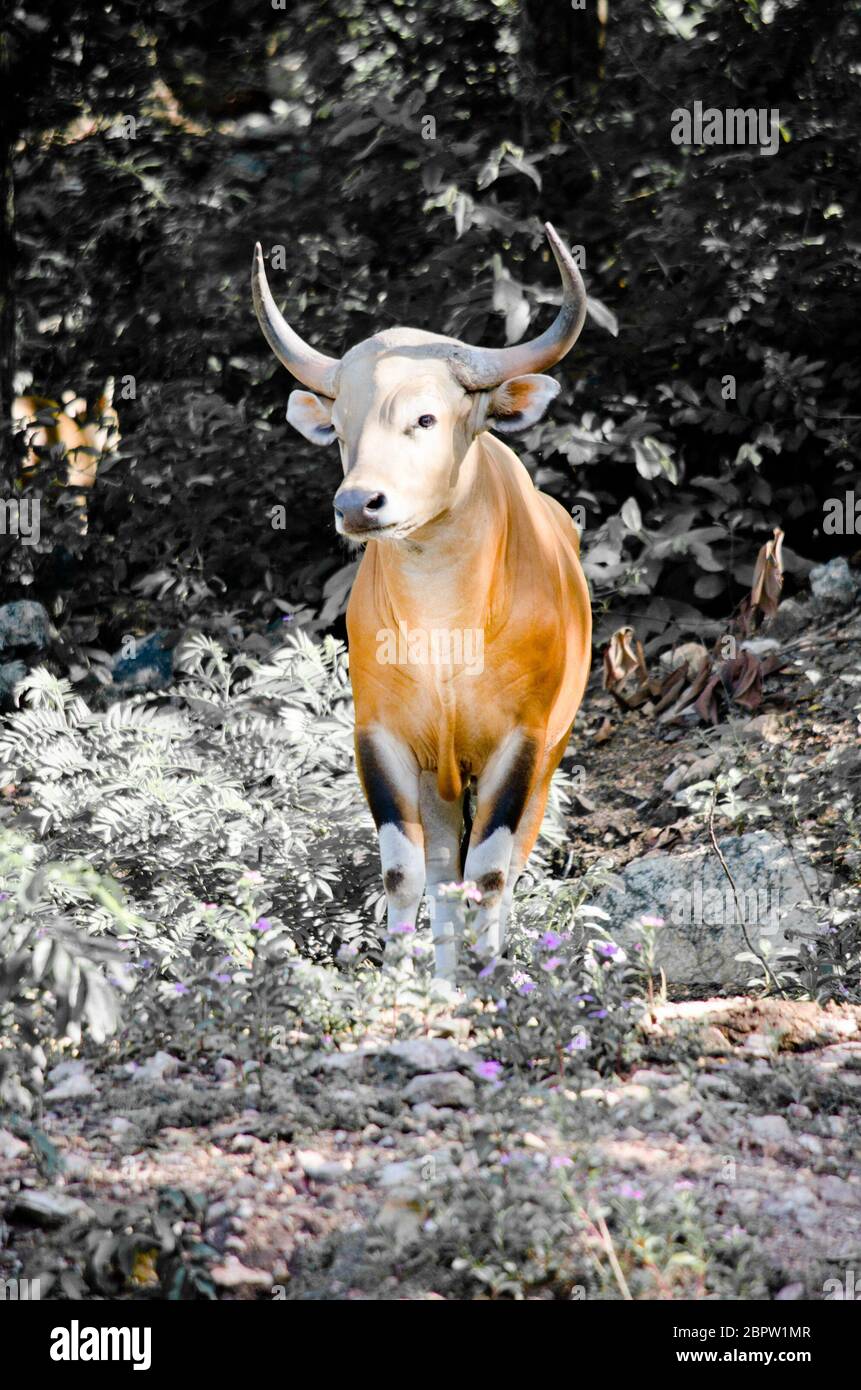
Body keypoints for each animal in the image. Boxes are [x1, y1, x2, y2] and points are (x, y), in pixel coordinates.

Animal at [252, 224, 592, 979]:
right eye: (342, 426)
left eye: (425, 417)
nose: (358, 503)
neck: (446, 627)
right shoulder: (381, 737)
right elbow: (404, 872)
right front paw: (402, 981)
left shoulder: (521, 742)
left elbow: (491, 873)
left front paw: (489, 983)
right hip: (442, 778)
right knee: (440, 873)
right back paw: (440, 975)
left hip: (545, 756)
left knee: (503, 867)